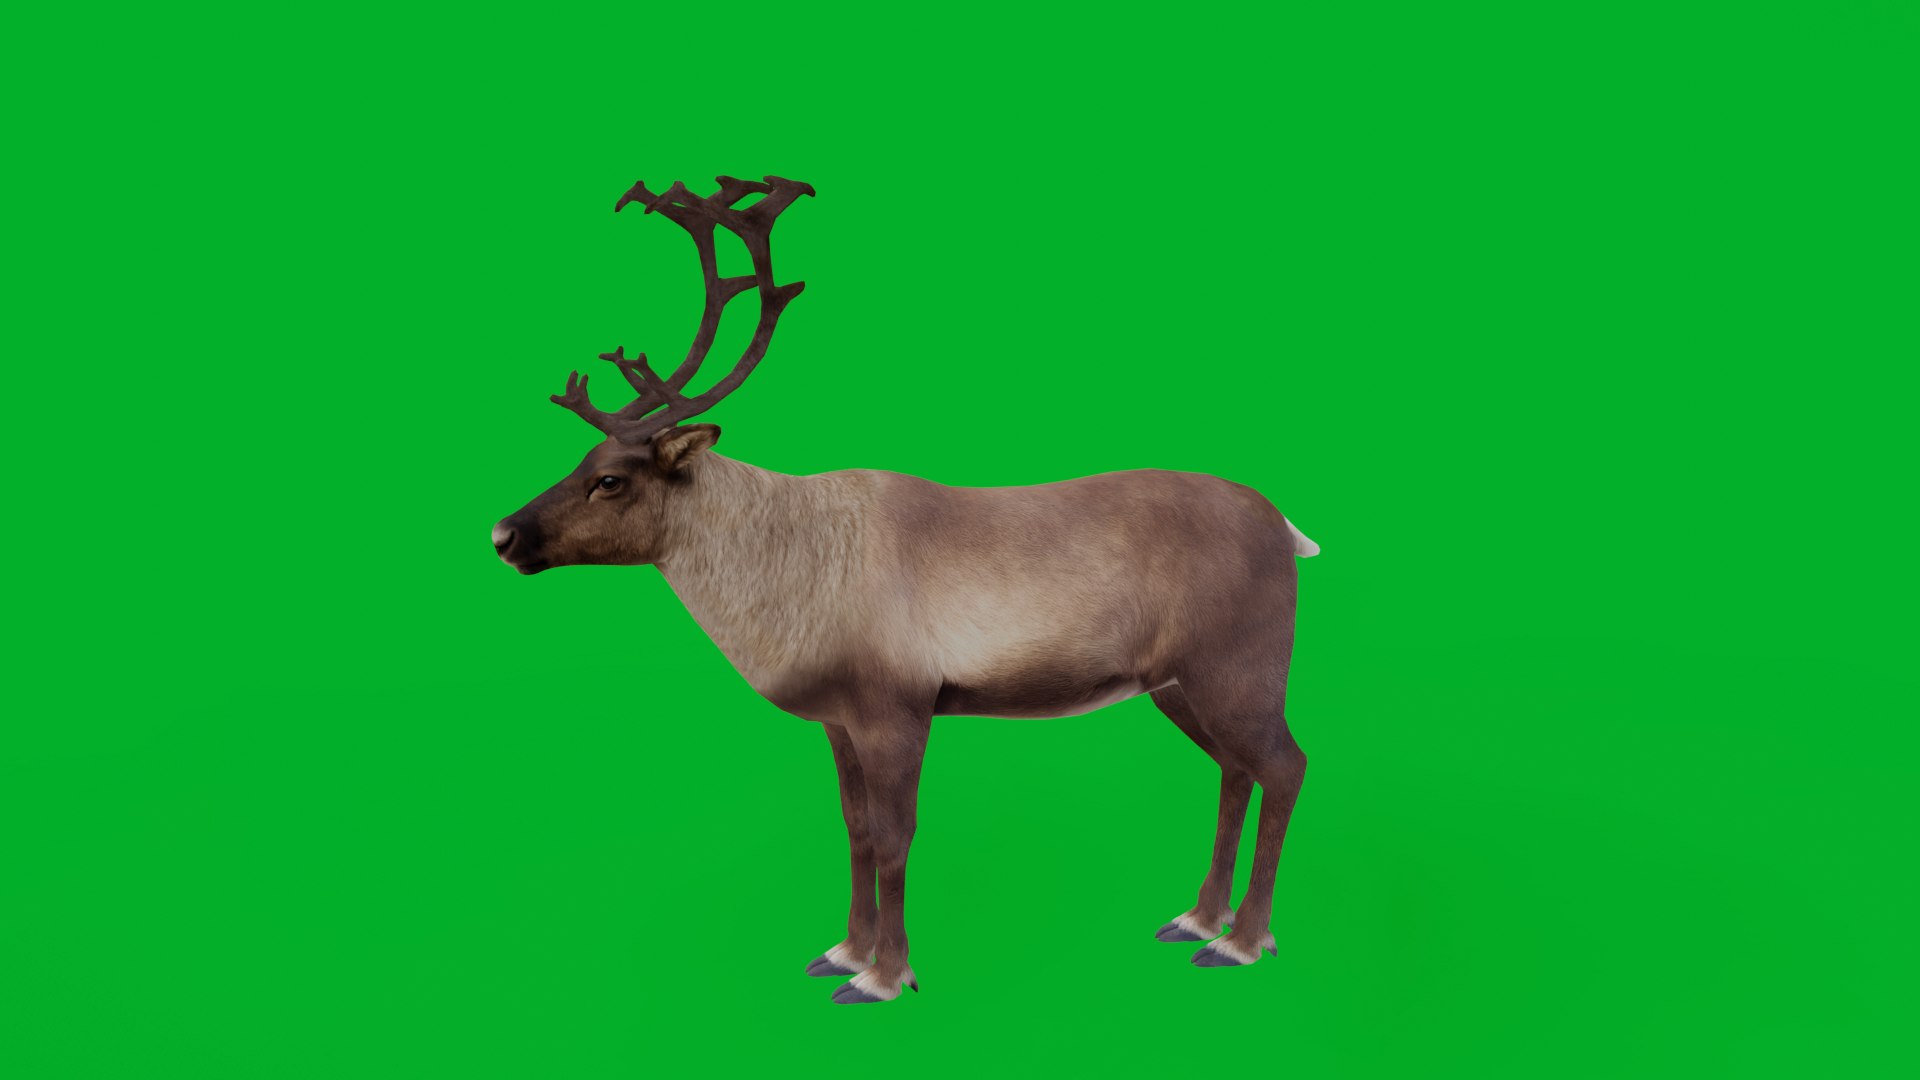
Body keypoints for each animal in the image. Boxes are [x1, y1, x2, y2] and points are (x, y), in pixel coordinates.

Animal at [491, 175, 1320, 1004]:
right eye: (579, 460)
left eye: (610, 479)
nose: (502, 534)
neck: (779, 581)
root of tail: (1290, 531)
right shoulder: (837, 716)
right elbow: (856, 831)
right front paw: (843, 951)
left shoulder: (896, 702)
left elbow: (894, 836)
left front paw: (885, 975)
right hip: (1175, 682)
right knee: (1235, 768)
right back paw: (1197, 918)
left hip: (1236, 666)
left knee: (1284, 765)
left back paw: (1242, 940)